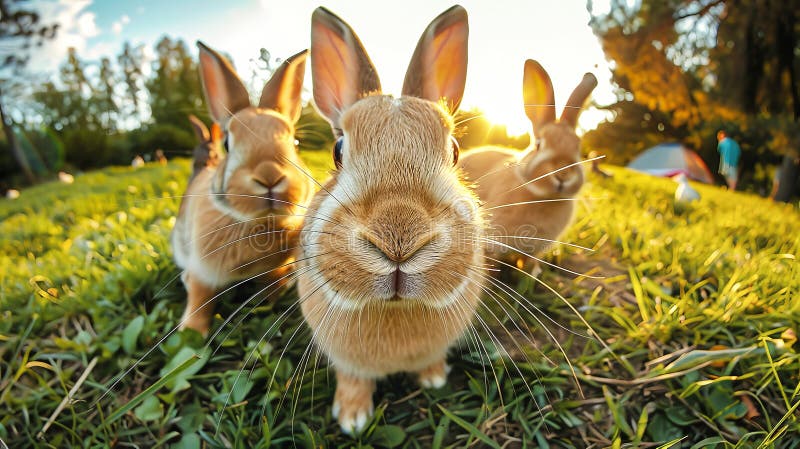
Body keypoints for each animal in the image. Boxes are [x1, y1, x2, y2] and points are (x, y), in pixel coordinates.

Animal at [171, 42, 315, 336]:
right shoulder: (202, 270)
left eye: (295, 143)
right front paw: (192, 331)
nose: (269, 176)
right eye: (228, 143)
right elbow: (200, 296)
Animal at [297, 5, 485, 434]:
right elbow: (352, 379)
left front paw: (434, 378)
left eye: (455, 150)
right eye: (337, 149)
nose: (400, 241)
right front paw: (352, 418)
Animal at [457, 59, 597, 272]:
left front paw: (533, 272)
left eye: (577, 146)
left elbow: (529, 261)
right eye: (539, 144)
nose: (563, 174)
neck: (544, 197)